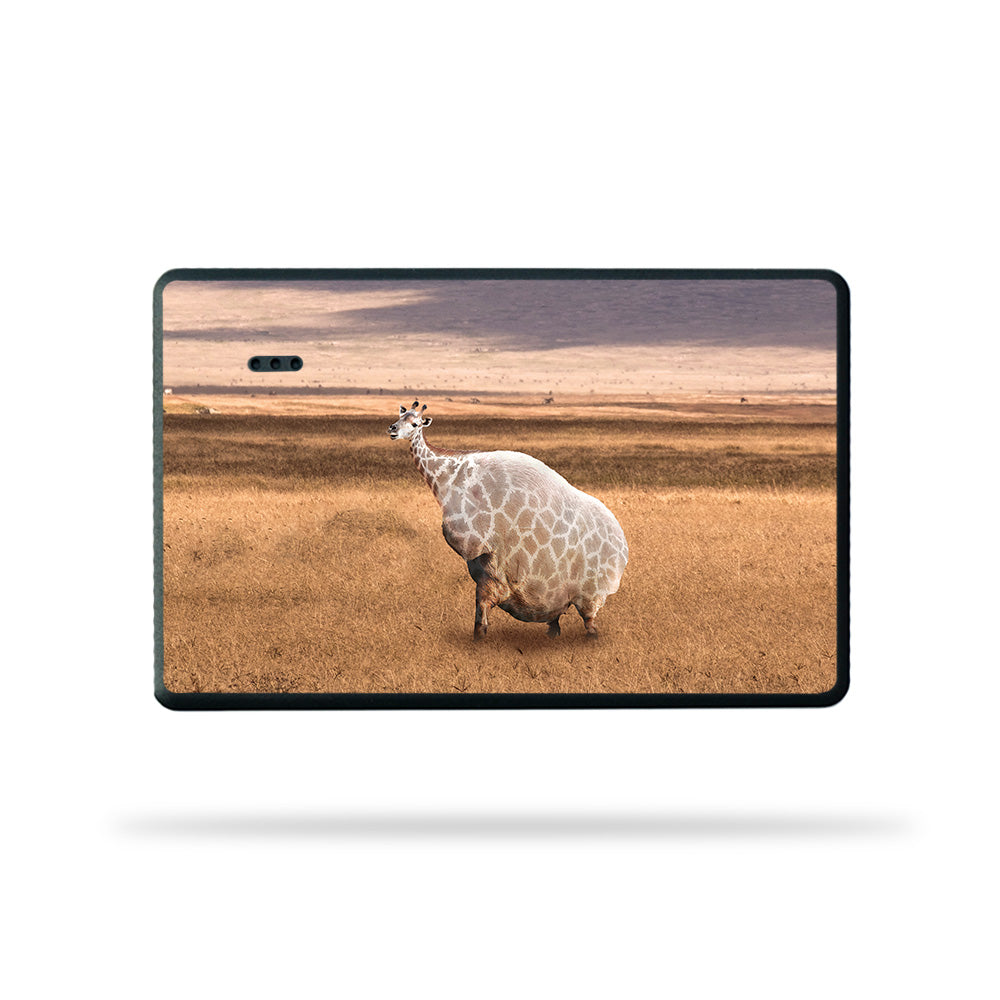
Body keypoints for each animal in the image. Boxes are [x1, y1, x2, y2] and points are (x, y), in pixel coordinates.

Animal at [388, 401, 628, 640]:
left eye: (416, 423)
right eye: (400, 416)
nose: (392, 429)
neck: (450, 482)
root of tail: (623, 546)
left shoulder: (479, 547)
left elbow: (480, 625)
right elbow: (480, 625)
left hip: (591, 594)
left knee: (591, 626)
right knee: (556, 623)